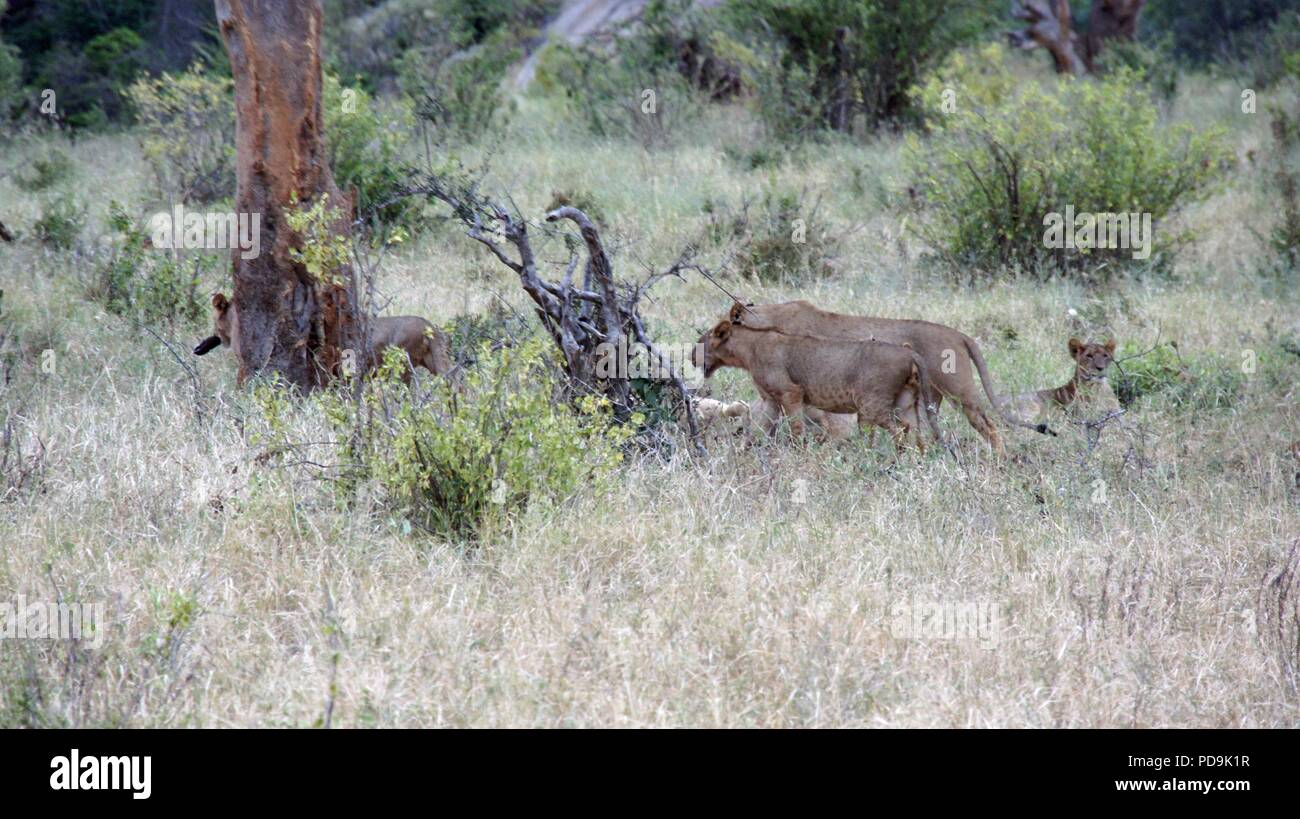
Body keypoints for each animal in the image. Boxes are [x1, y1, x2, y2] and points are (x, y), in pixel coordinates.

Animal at [695, 319, 945, 454]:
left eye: (701, 342)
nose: (690, 355)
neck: (749, 349)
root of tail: (909, 352)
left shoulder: (790, 393)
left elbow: (796, 429)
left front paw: (798, 454)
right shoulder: (770, 400)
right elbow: (757, 429)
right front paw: (742, 453)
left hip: (872, 405)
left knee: (899, 434)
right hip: (904, 402)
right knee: (916, 434)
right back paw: (916, 463)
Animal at [726, 300, 1053, 451]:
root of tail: (959, 335)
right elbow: (755, 416)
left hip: (960, 390)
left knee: (989, 426)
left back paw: (1001, 459)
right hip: (928, 397)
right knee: (927, 430)